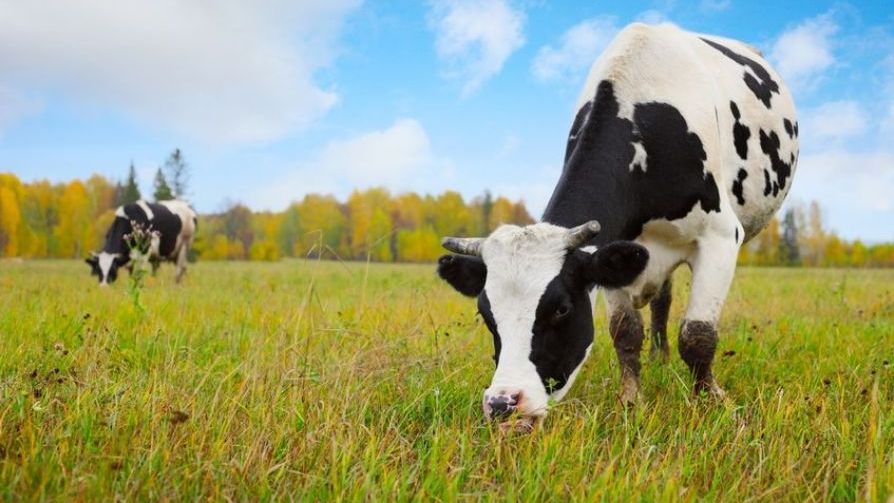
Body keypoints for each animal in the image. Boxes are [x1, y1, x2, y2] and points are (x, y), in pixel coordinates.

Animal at [436, 23, 798, 426]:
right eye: (485, 312)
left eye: (561, 308)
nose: (503, 403)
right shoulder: (612, 249)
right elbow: (625, 331)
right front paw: (630, 399)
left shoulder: (720, 237)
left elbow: (698, 335)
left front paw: (712, 402)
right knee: (662, 299)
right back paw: (659, 358)